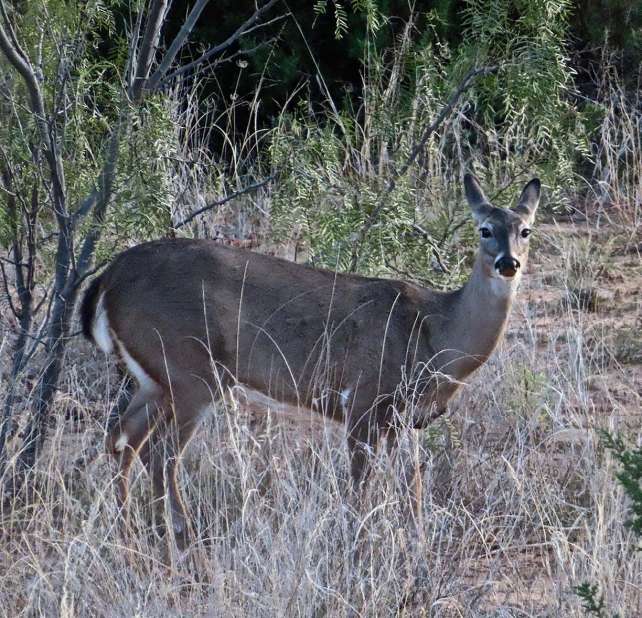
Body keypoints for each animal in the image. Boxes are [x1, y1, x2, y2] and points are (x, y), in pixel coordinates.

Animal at [80, 173, 540, 548]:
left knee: (123, 440)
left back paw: (130, 534)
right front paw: (358, 545)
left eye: (525, 230)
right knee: (161, 452)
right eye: (484, 229)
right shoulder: (362, 401)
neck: (435, 334)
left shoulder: (405, 420)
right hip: (190, 368)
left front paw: (416, 544)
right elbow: (361, 487)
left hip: (154, 377)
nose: (509, 263)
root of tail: (108, 279)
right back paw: (182, 539)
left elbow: (414, 487)